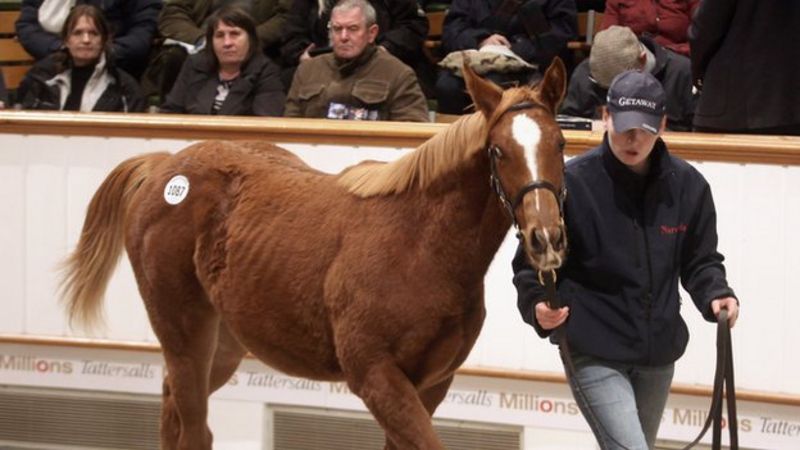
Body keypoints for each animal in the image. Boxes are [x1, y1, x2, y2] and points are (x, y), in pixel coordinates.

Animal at [60, 58, 568, 450]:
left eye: (560, 143)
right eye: (497, 150)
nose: (545, 238)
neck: (419, 247)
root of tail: (164, 165)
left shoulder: (430, 384)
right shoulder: (376, 378)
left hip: (222, 344)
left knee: (173, 409)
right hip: (184, 336)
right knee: (194, 429)